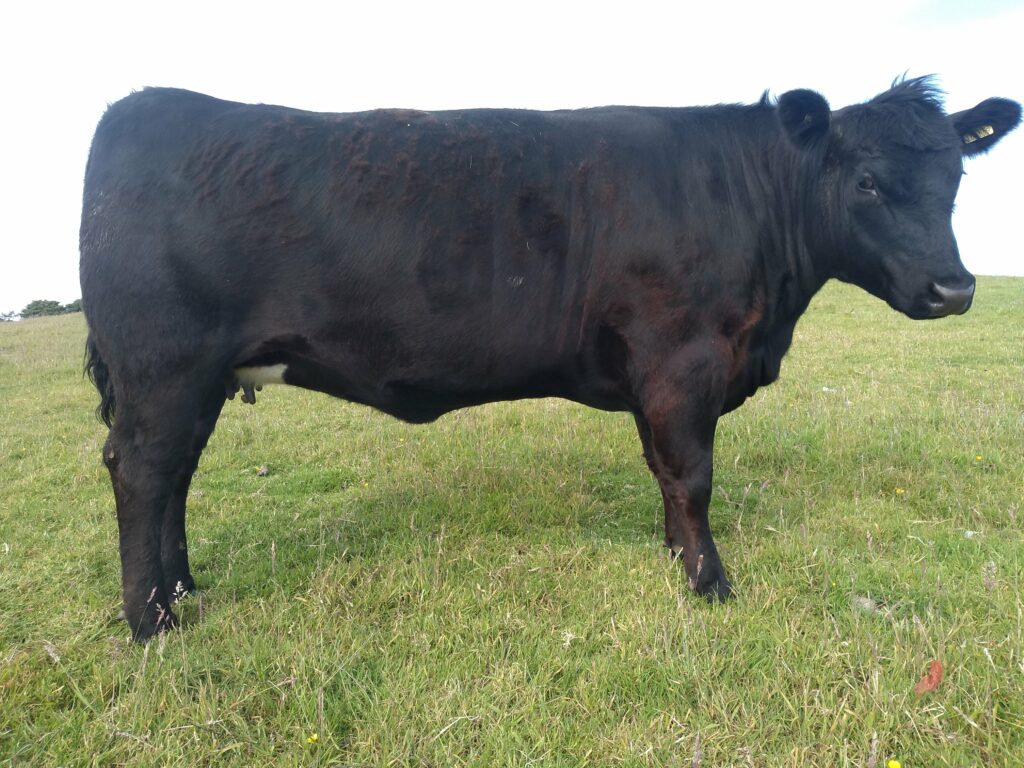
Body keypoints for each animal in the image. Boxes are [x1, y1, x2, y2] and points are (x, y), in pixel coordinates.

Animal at [80, 77, 1020, 641]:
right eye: (865, 181)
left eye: (956, 181)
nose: (954, 287)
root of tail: (149, 103)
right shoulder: (682, 359)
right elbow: (693, 475)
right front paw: (711, 584)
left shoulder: (658, 376)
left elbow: (665, 476)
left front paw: (675, 560)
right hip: (164, 369)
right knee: (143, 473)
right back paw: (151, 621)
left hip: (195, 380)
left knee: (173, 478)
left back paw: (183, 591)